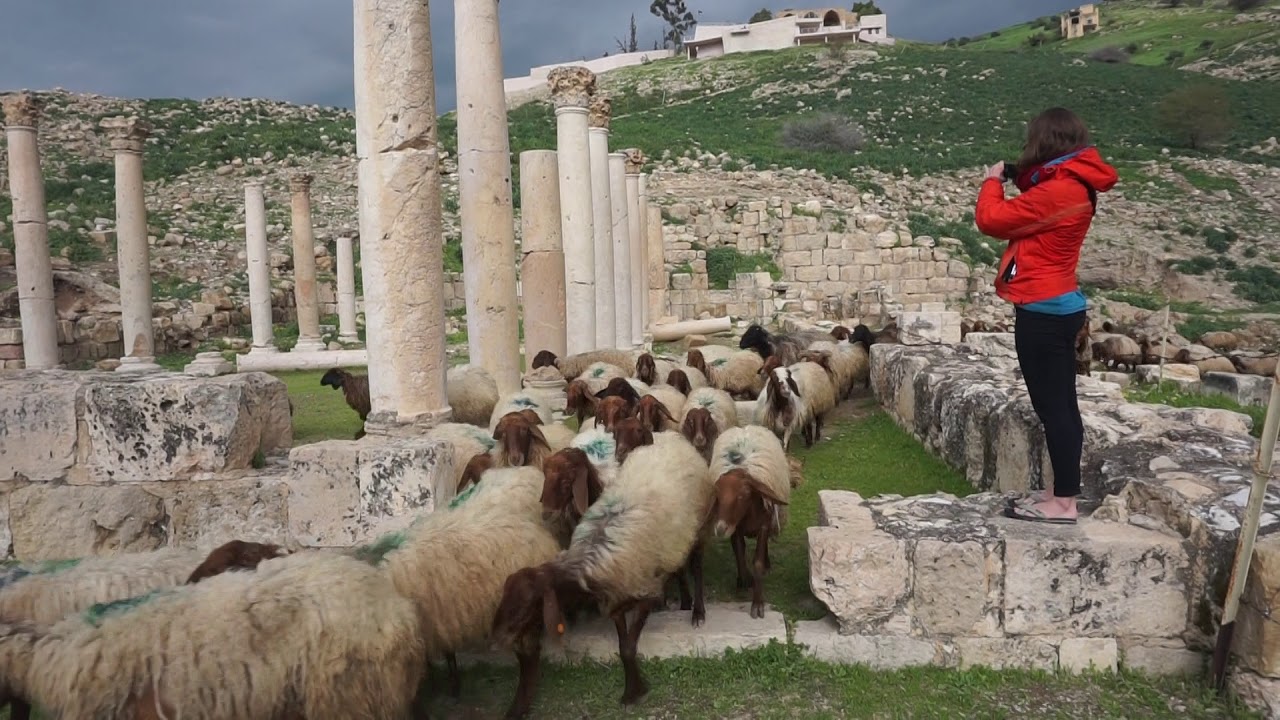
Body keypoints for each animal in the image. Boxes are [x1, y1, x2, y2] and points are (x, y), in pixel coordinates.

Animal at [490, 436, 713, 718]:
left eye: (527, 606)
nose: (496, 638)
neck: (587, 564)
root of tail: (674, 439)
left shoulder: (646, 594)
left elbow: (628, 648)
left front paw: (635, 692)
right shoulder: (614, 600)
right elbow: (622, 648)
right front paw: (633, 690)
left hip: (700, 527)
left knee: (697, 566)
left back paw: (697, 612)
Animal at [707, 425, 792, 619]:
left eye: (744, 494)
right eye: (718, 495)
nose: (720, 529)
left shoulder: (763, 526)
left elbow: (757, 563)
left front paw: (758, 604)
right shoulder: (736, 528)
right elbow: (739, 552)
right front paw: (744, 580)